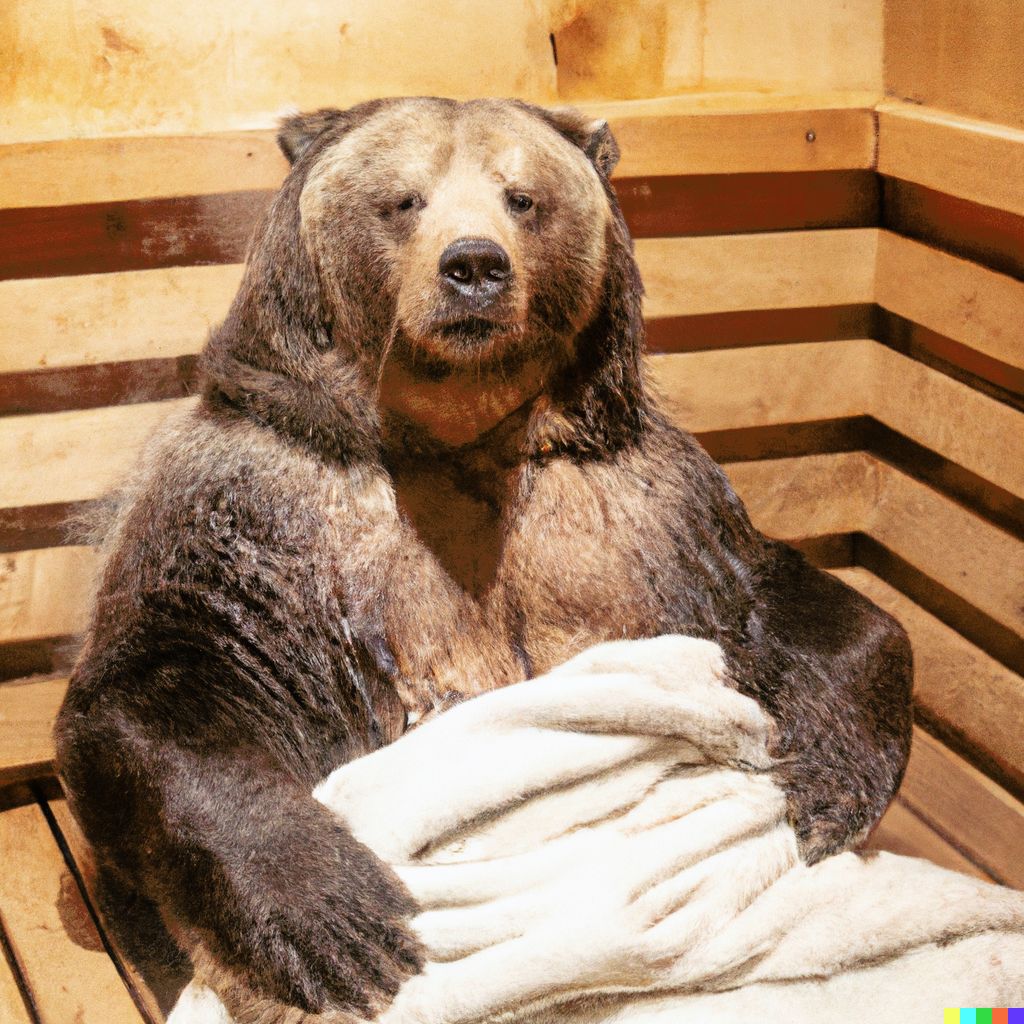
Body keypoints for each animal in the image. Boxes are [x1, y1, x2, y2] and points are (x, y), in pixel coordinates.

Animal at [55, 96, 913, 1018]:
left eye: (522, 197)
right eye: (404, 199)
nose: (473, 265)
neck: (457, 441)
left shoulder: (646, 508)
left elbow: (793, 599)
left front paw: (826, 779)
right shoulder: (260, 510)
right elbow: (155, 688)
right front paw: (338, 917)